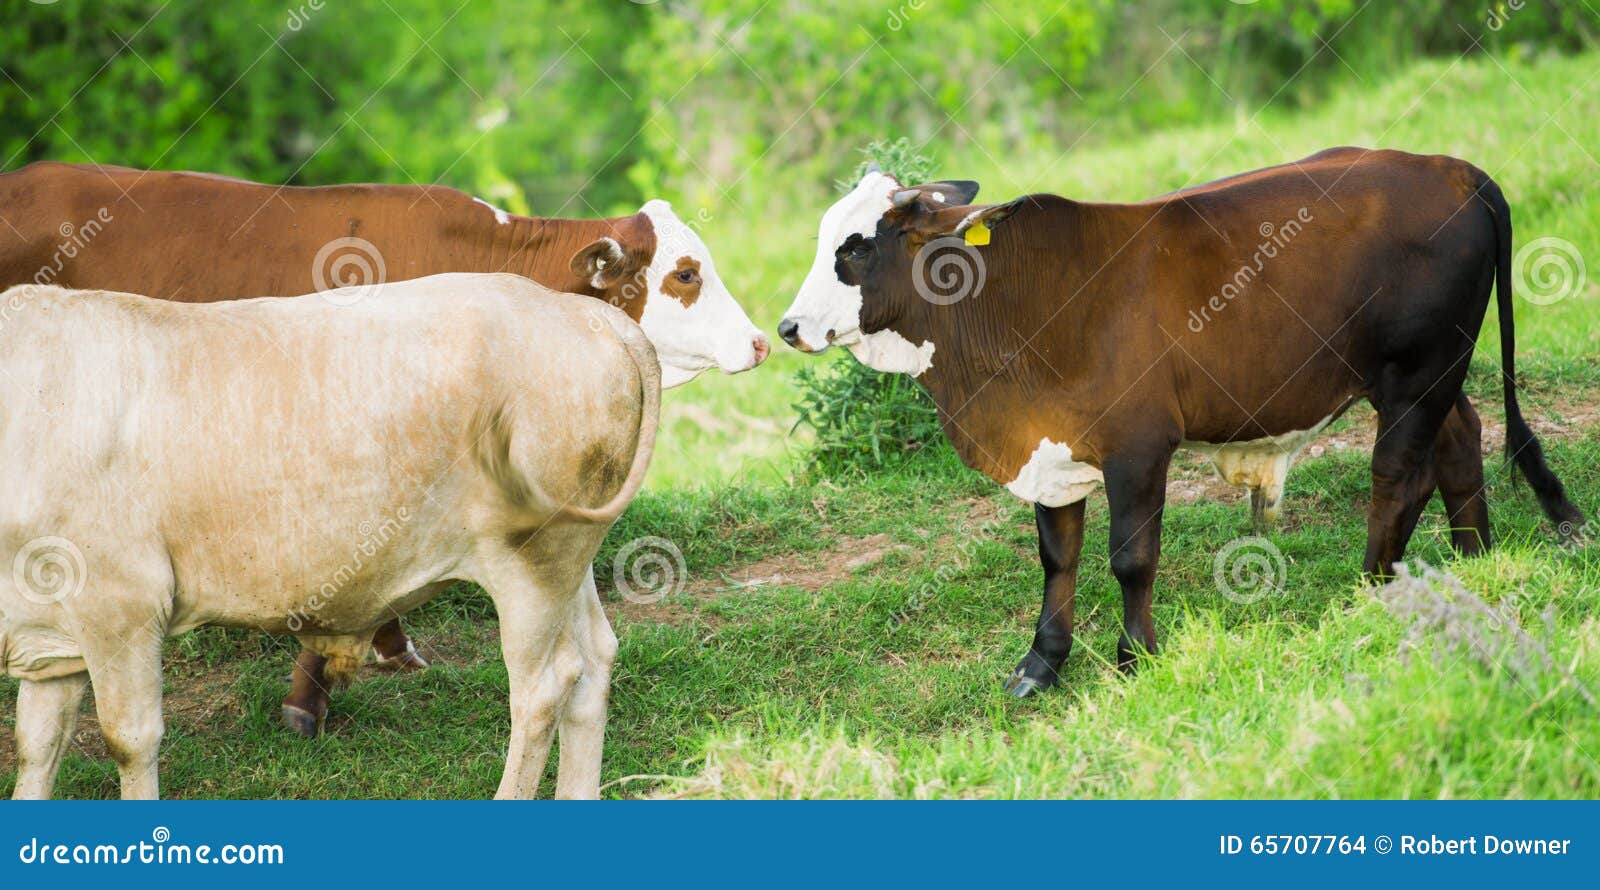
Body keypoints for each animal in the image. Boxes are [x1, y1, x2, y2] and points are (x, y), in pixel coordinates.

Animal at [2, 273, 656, 799]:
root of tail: (587, 312)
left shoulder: (122, 604)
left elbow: (128, 740)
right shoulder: (50, 634)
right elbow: (38, 745)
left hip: (534, 560)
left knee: (546, 685)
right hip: (571, 558)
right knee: (596, 659)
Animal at [779, 148, 1584, 697]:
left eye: (857, 247)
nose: (788, 328)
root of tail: (1455, 169)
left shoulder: (1139, 447)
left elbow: (1131, 558)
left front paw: (1135, 656)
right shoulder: (1050, 449)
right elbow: (1057, 556)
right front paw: (1041, 664)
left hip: (1416, 372)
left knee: (1397, 477)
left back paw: (1374, 588)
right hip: (1431, 376)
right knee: (1461, 443)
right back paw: (1475, 558)